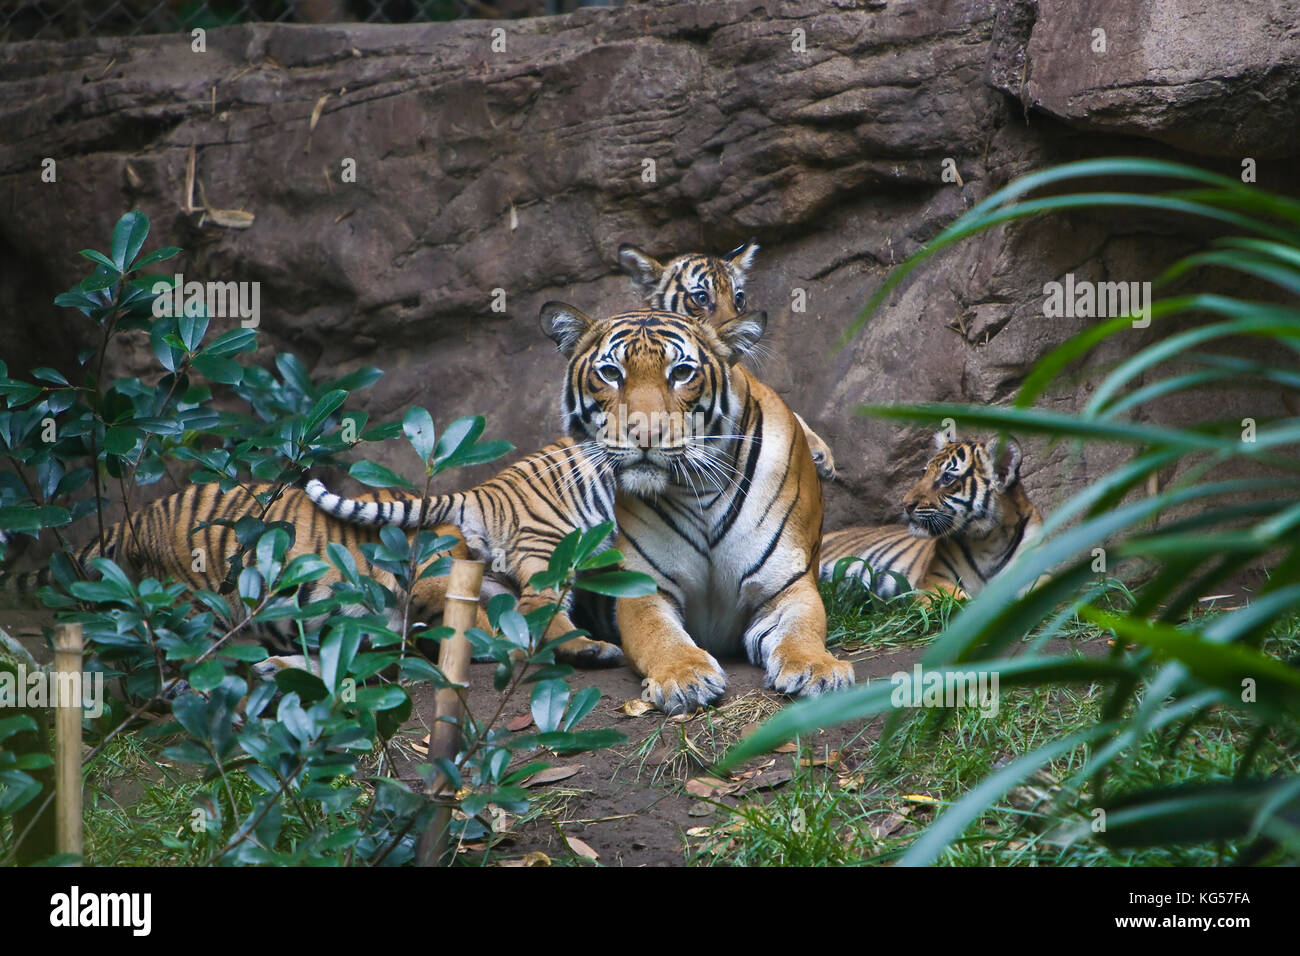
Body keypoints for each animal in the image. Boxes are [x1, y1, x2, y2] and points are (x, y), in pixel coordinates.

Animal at [537, 303, 855, 715]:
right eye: (610, 374)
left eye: (681, 373)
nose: (645, 433)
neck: (700, 491)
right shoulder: (645, 588)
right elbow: (659, 636)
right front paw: (685, 676)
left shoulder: (786, 586)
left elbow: (802, 630)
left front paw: (817, 670)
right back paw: (588, 648)